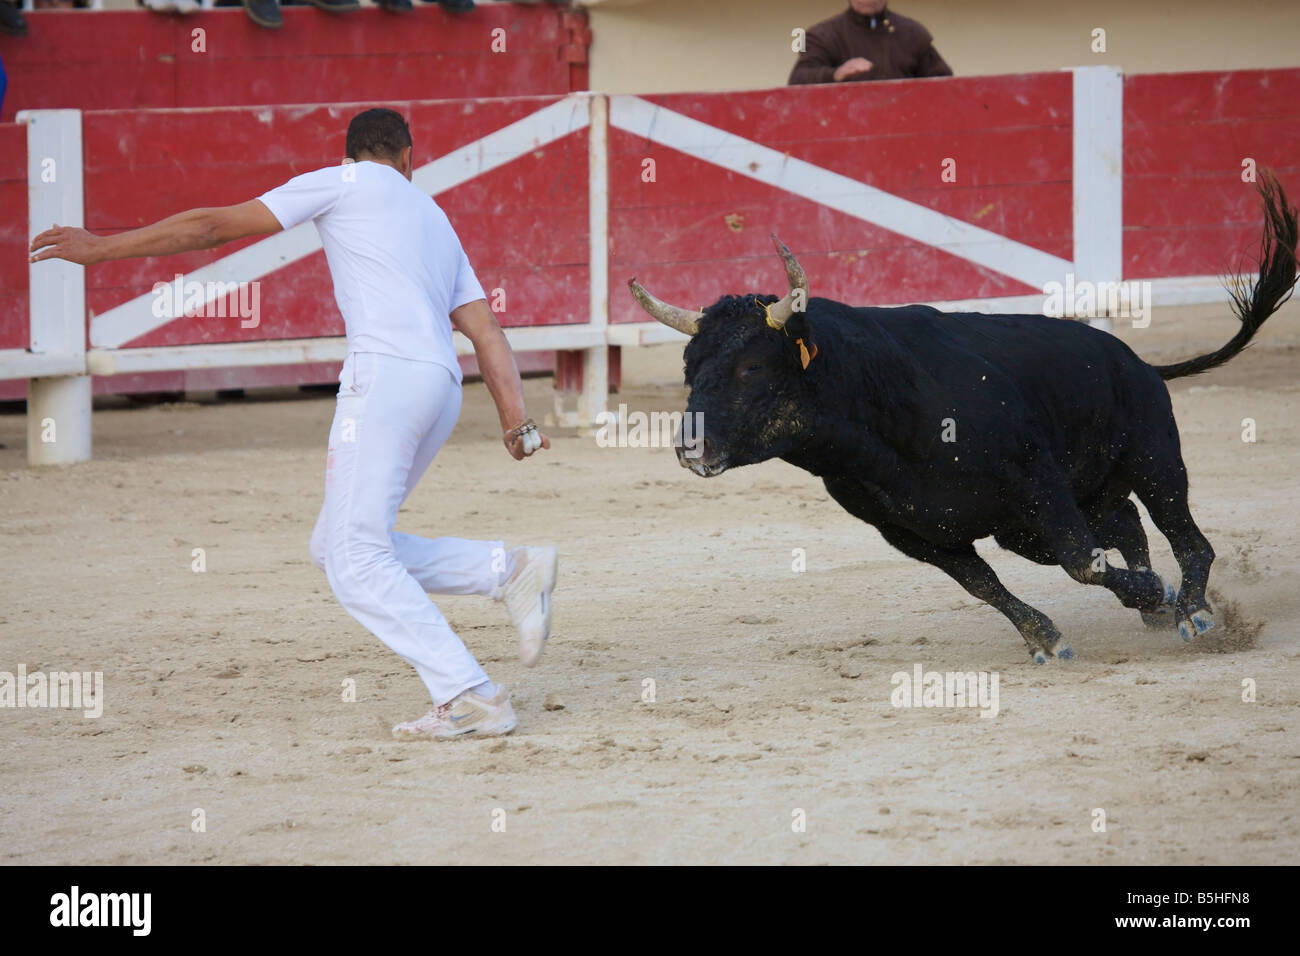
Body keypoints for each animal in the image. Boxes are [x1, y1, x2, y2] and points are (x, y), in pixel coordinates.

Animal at [627, 174, 1298, 662]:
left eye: (750, 369)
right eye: (689, 367)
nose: (690, 448)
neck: (877, 415)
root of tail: (1137, 362)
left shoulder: (1037, 485)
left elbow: (1082, 562)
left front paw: (1152, 597)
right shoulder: (918, 533)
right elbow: (986, 586)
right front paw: (1047, 639)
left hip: (1154, 459)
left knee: (1186, 537)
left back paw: (1192, 611)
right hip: (1047, 515)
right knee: (1128, 524)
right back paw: (1162, 607)